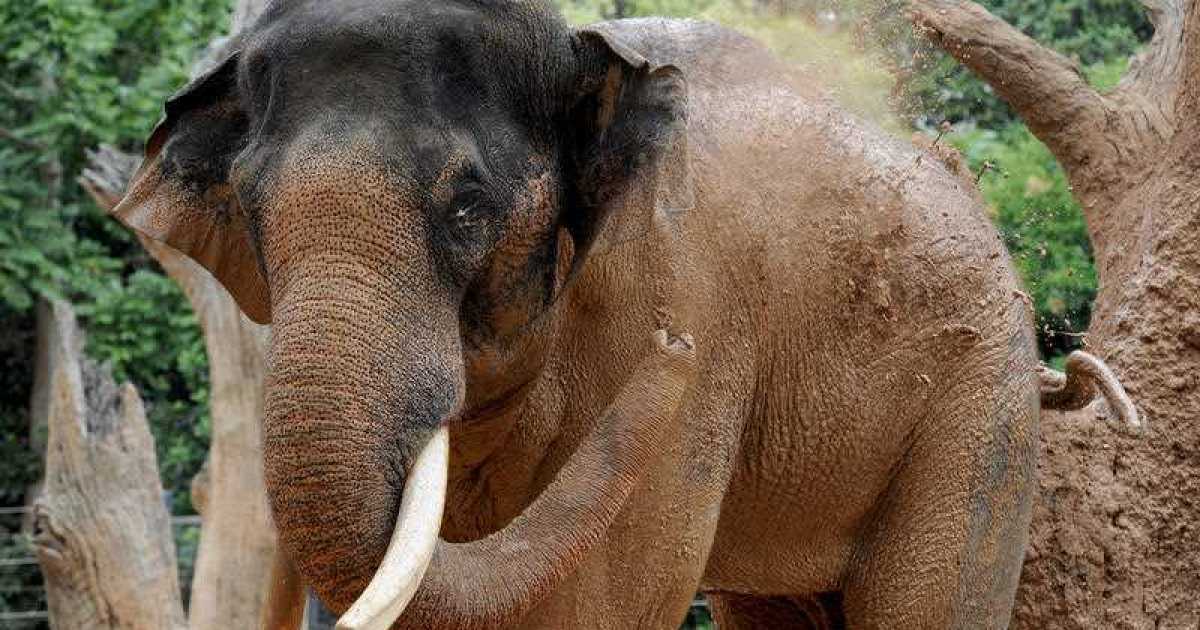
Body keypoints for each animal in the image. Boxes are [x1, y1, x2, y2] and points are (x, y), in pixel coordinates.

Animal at [111, 1, 1137, 628]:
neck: (586, 52)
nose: (672, 353)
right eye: (249, 206)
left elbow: (613, 592)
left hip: (977, 407)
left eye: (468, 209)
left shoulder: (691, 294)